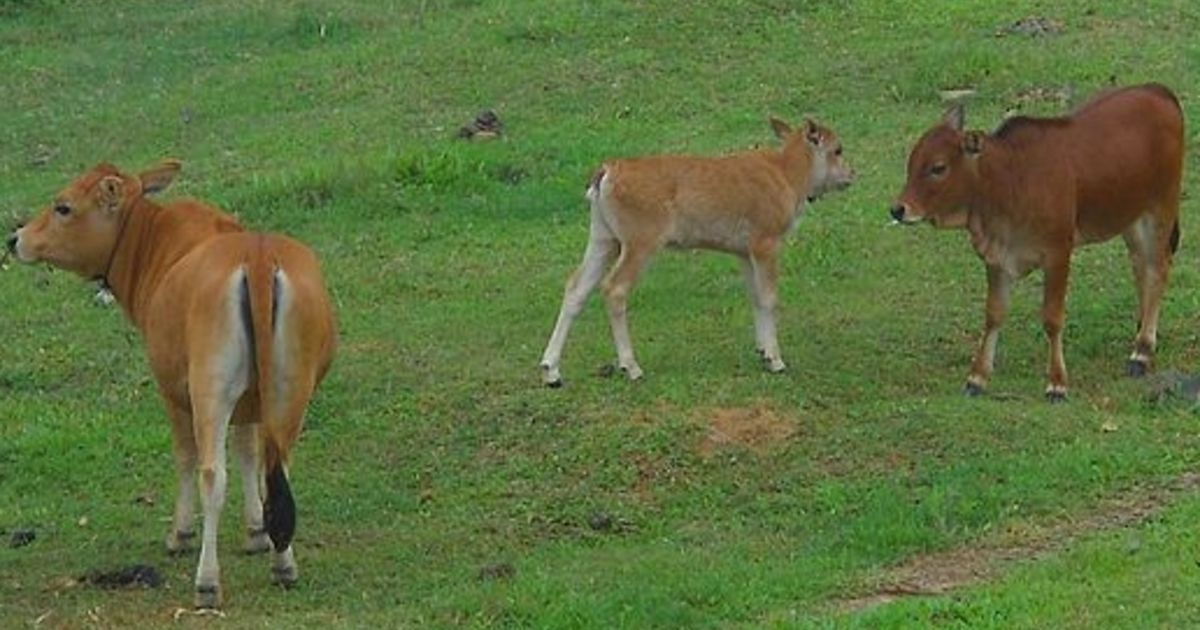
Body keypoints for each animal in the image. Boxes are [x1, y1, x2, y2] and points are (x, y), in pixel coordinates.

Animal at [6, 161, 337, 608]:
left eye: (63, 207)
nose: (15, 239)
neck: (157, 243)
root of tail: (257, 255)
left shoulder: (174, 395)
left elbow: (185, 457)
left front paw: (180, 534)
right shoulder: (251, 403)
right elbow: (249, 453)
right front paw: (256, 532)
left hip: (209, 391)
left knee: (212, 476)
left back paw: (207, 581)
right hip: (290, 389)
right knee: (277, 466)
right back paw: (283, 564)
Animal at [538, 117, 855, 386]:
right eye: (837, 149)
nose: (852, 174)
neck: (787, 174)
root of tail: (608, 171)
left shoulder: (743, 252)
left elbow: (754, 296)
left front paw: (762, 351)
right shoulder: (766, 243)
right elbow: (768, 298)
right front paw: (776, 360)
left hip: (604, 240)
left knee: (577, 288)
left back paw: (551, 371)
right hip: (639, 244)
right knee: (614, 288)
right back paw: (632, 367)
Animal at [890, 84, 1183, 401]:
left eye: (938, 167)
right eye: (911, 163)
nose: (898, 209)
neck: (1010, 181)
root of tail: (1159, 91)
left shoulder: (1058, 253)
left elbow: (1052, 319)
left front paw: (1057, 383)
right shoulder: (997, 259)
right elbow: (993, 314)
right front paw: (977, 378)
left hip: (1160, 210)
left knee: (1158, 270)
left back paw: (1141, 352)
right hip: (1131, 218)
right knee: (1142, 269)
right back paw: (1143, 332)